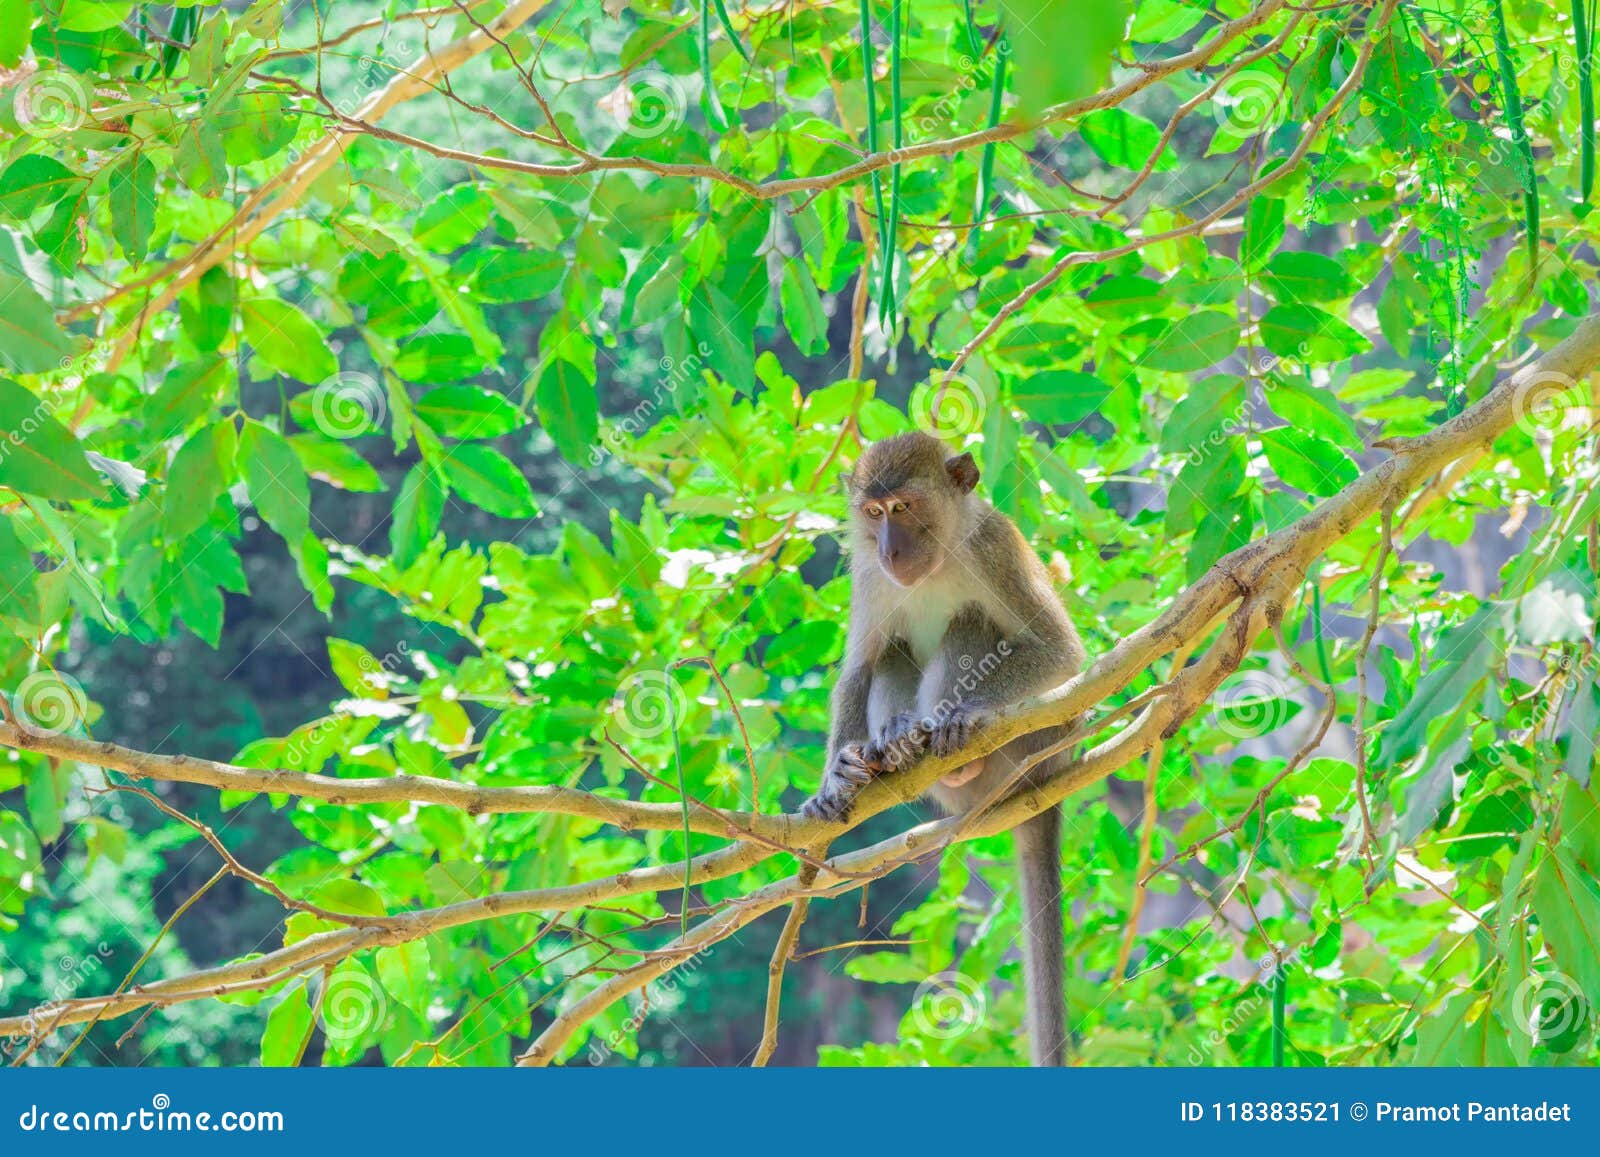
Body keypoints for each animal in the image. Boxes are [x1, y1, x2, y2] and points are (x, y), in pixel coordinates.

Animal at [801, 430, 1086, 1067]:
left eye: (904, 507)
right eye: (874, 513)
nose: (891, 551)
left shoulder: (994, 550)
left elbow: (1060, 654)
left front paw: (963, 714)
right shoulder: (868, 577)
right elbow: (858, 669)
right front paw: (836, 777)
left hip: (1031, 750)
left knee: (972, 621)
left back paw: (952, 745)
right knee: (891, 650)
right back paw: (894, 746)